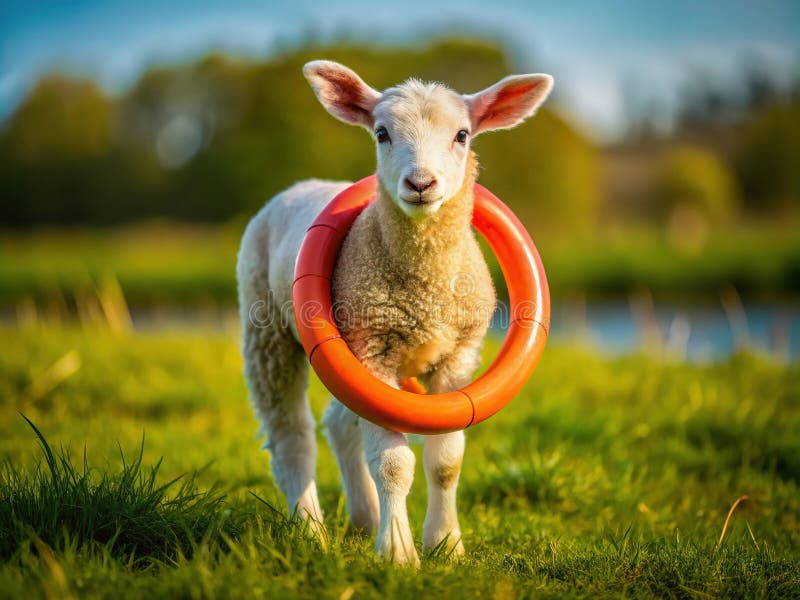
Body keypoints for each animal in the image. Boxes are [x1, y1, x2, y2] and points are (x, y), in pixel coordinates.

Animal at [236, 60, 553, 565]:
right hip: (267, 331)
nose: (421, 184)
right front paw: (399, 551)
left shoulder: (459, 356)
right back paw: (310, 529)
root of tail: (300, 187)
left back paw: (364, 518)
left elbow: (446, 460)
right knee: (291, 435)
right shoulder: (372, 352)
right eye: (381, 133)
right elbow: (392, 463)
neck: (426, 290)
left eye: (462, 135)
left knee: (339, 424)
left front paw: (446, 544)